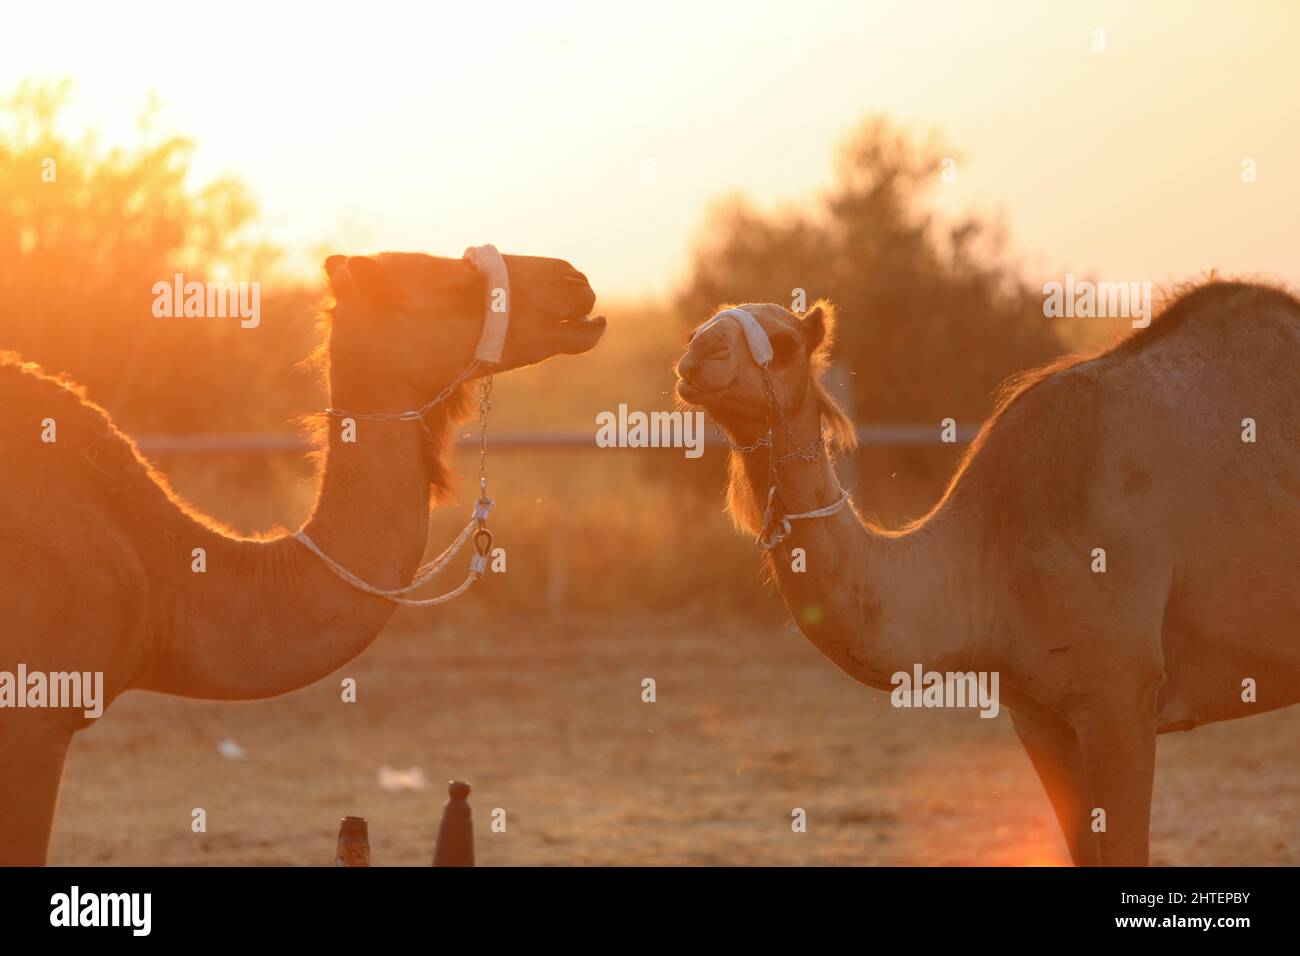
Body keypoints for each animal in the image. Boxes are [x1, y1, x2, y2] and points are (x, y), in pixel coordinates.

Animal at [675, 281, 1300, 865]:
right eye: (701, 329)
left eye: (781, 345)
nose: (698, 351)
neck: (988, 552)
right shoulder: (1038, 715)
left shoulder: (1121, 700)